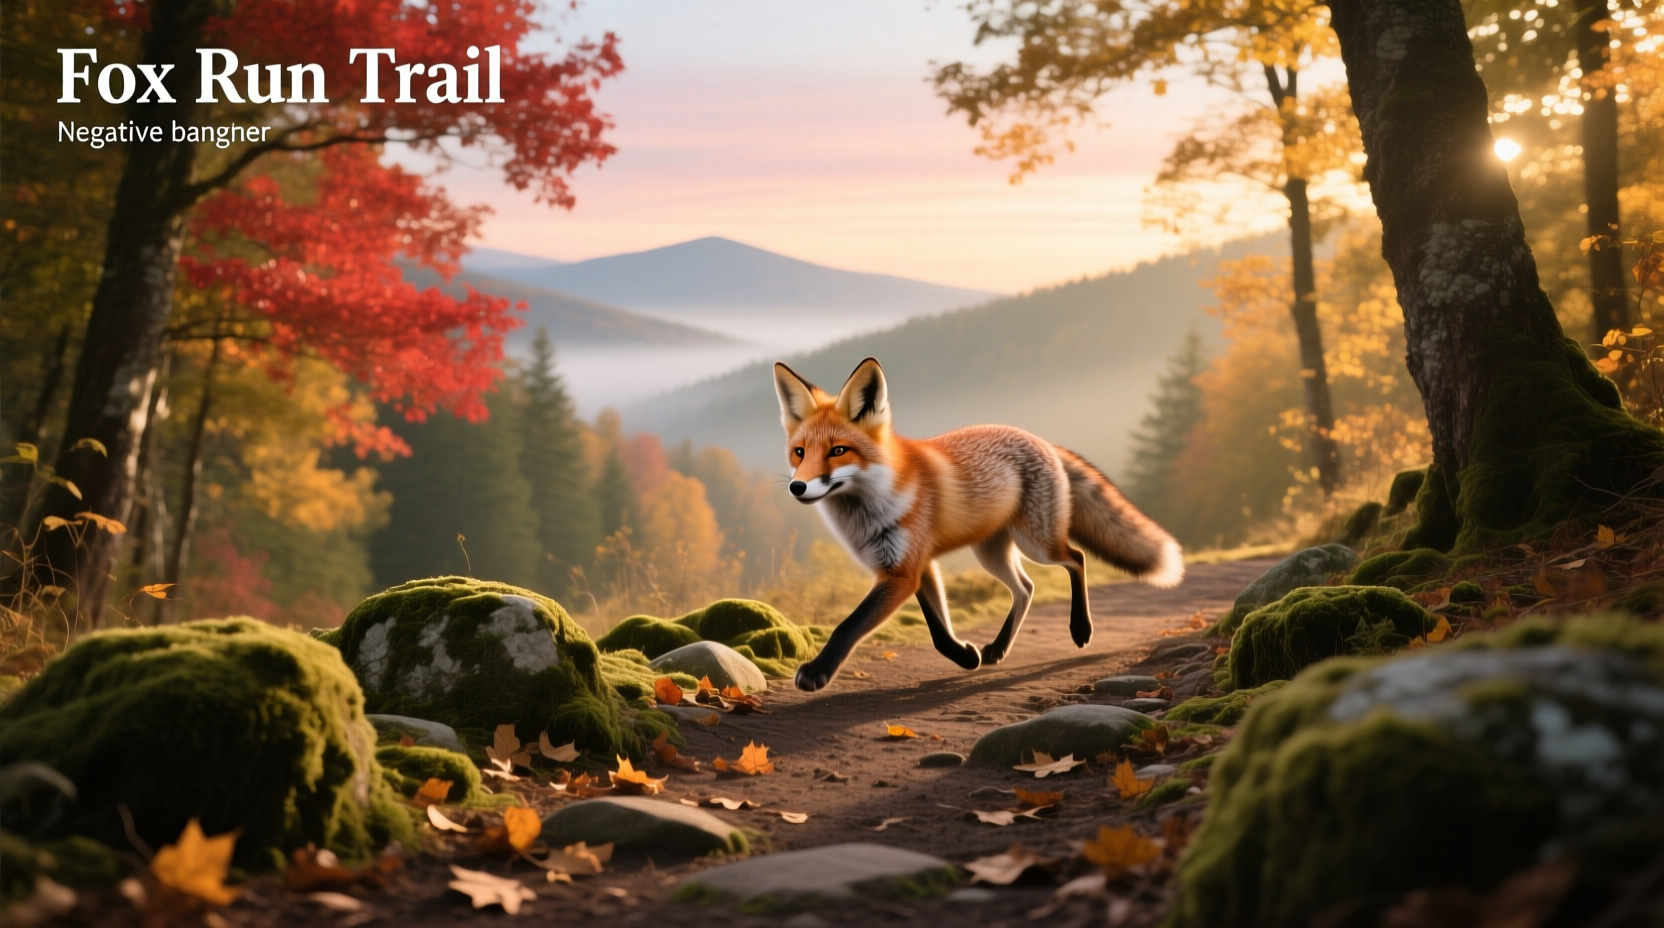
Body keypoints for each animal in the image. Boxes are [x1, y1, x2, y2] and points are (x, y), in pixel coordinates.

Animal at [774, 357, 1184, 692]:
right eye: (800, 453)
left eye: (838, 451)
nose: (797, 487)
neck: (871, 507)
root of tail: (1043, 441)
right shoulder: (916, 567)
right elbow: (939, 632)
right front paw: (966, 657)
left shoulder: (903, 571)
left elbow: (849, 625)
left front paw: (817, 672)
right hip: (991, 553)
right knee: (1026, 588)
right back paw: (998, 649)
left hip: (1037, 544)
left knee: (1076, 559)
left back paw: (1080, 629)